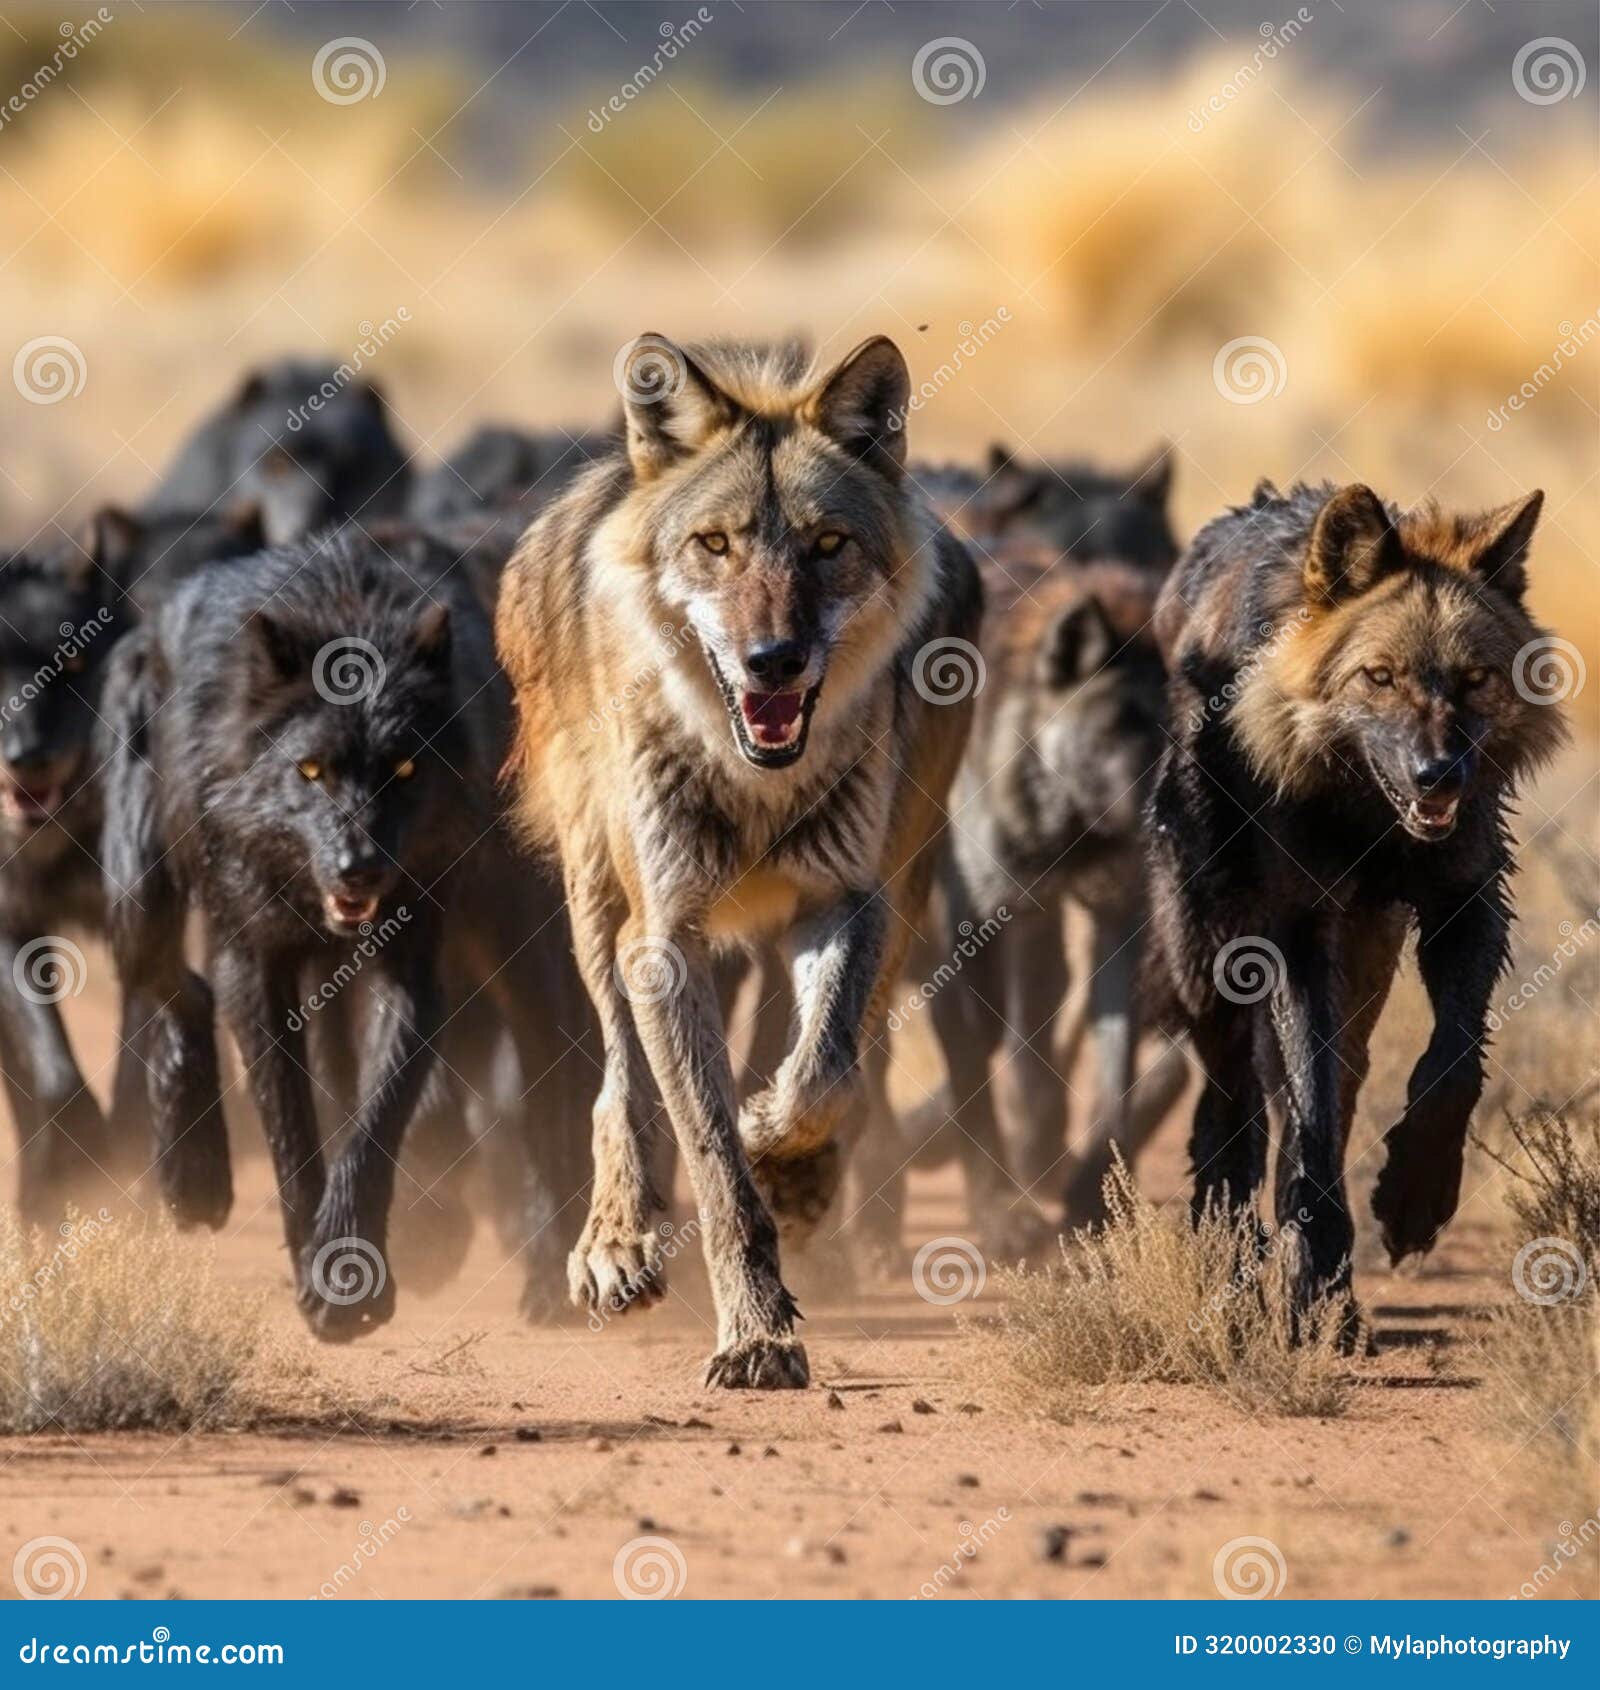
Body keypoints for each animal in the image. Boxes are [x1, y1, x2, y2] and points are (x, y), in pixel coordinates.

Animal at [0, 503, 264, 1223]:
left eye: (73, 660)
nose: (27, 756)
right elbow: (50, 1068)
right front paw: (70, 1168)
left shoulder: (146, 913)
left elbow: (140, 1040)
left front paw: (126, 1158)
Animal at [101, 524, 592, 1336]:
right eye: (309, 770)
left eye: (404, 768)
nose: (358, 868)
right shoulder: (256, 964)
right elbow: (293, 1128)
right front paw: (323, 1264)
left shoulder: (411, 973)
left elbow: (376, 1121)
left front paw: (351, 1281)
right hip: (138, 898)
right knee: (180, 989)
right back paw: (193, 1173)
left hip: (521, 956)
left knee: (553, 1085)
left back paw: (551, 1277)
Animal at [497, 333, 982, 1387]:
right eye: (715, 545)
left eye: (827, 545)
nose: (774, 661)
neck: (754, 780)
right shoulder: (665, 937)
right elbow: (708, 1153)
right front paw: (756, 1332)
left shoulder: (846, 902)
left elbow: (823, 1072)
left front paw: (778, 1154)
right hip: (599, 901)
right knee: (618, 1078)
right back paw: (617, 1242)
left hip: (905, 882)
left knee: (841, 1048)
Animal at [1147, 479, 1564, 1331]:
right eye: (1380, 676)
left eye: (1476, 679)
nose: (1437, 774)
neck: (1367, 818)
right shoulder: (1293, 931)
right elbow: (1309, 1109)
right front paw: (1310, 1275)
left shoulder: (1468, 903)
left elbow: (1448, 1070)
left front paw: (1411, 1202)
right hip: (1212, 955)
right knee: (1234, 1101)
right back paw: (1236, 1259)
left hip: (1366, 956)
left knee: (1330, 1083)